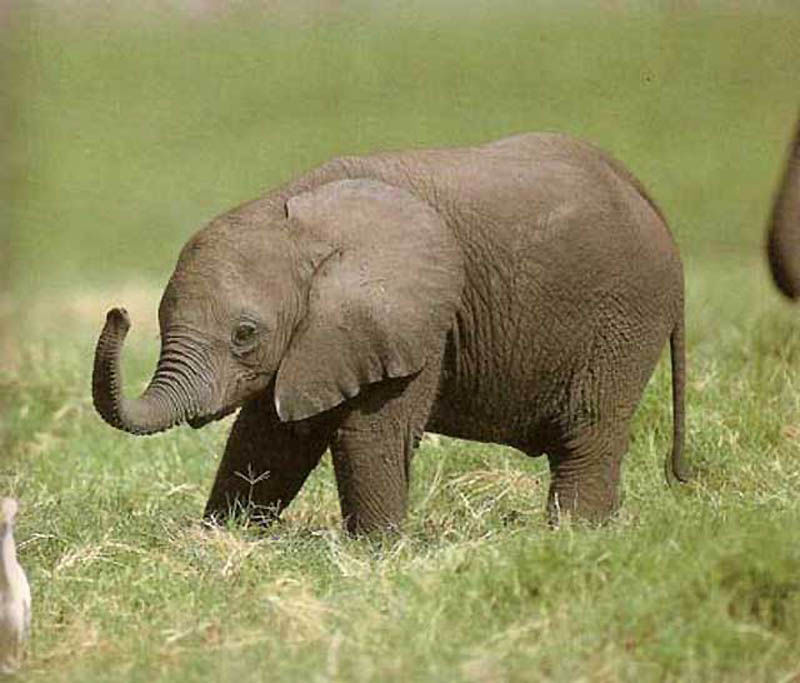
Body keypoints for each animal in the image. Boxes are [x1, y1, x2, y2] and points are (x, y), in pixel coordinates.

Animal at [92, 132, 689, 534]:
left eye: (244, 333)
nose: (118, 313)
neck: (302, 222)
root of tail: (648, 198)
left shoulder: (415, 325)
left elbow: (369, 435)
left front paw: (374, 552)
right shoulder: (314, 340)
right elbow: (268, 440)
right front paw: (220, 538)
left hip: (627, 314)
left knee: (588, 433)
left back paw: (571, 537)